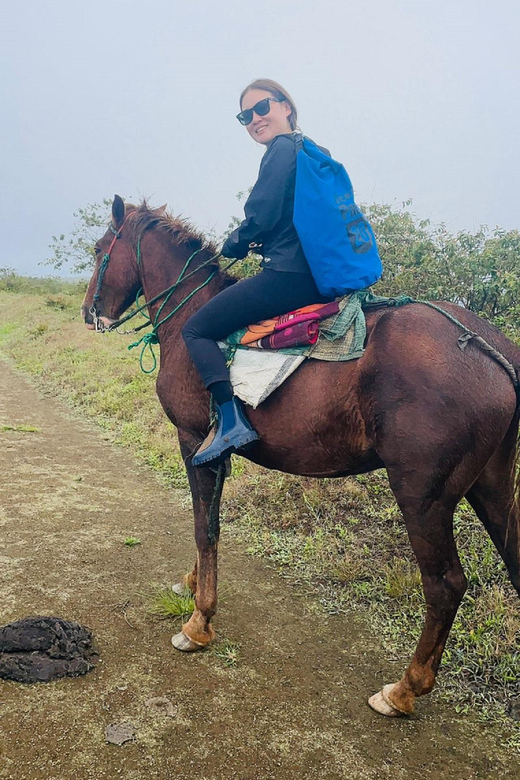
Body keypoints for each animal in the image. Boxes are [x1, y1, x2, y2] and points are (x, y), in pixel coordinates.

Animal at [82, 195, 520, 718]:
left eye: (99, 250)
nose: (89, 313)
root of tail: (492, 347)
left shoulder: (192, 442)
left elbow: (203, 527)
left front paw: (199, 622)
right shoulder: (215, 454)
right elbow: (210, 521)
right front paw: (192, 583)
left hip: (423, 496)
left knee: (445, 585)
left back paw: (404, 689)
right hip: (492, 488)